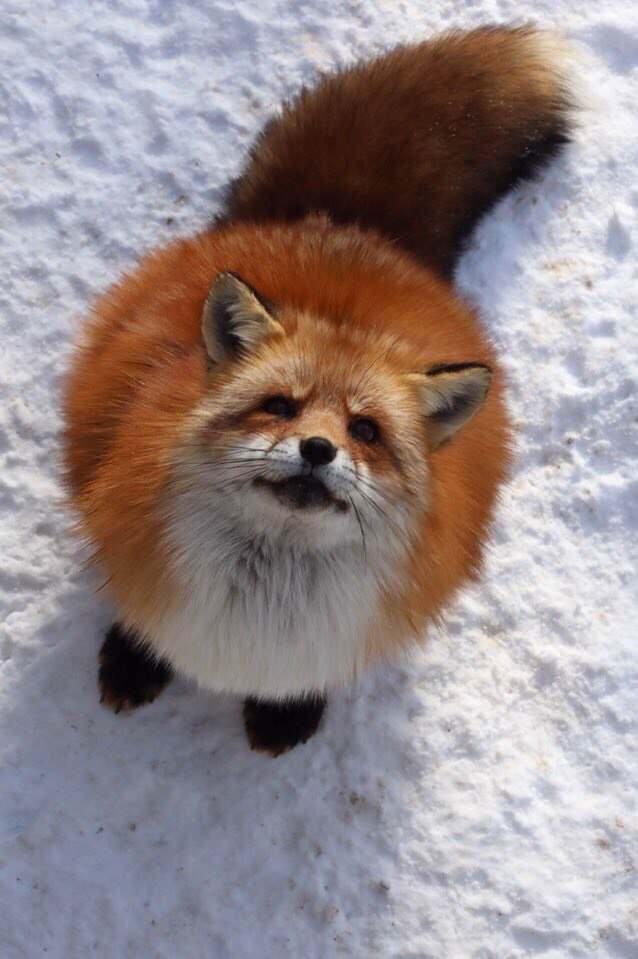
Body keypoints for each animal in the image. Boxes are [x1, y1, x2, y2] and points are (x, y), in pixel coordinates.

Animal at [63, 25, 574, 756]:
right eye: (280, 406)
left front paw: (288, 708)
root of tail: (343, 223)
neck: (264, 605)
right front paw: (137, 653)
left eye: (365, 430)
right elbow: (140, 614)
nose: (316, 450)